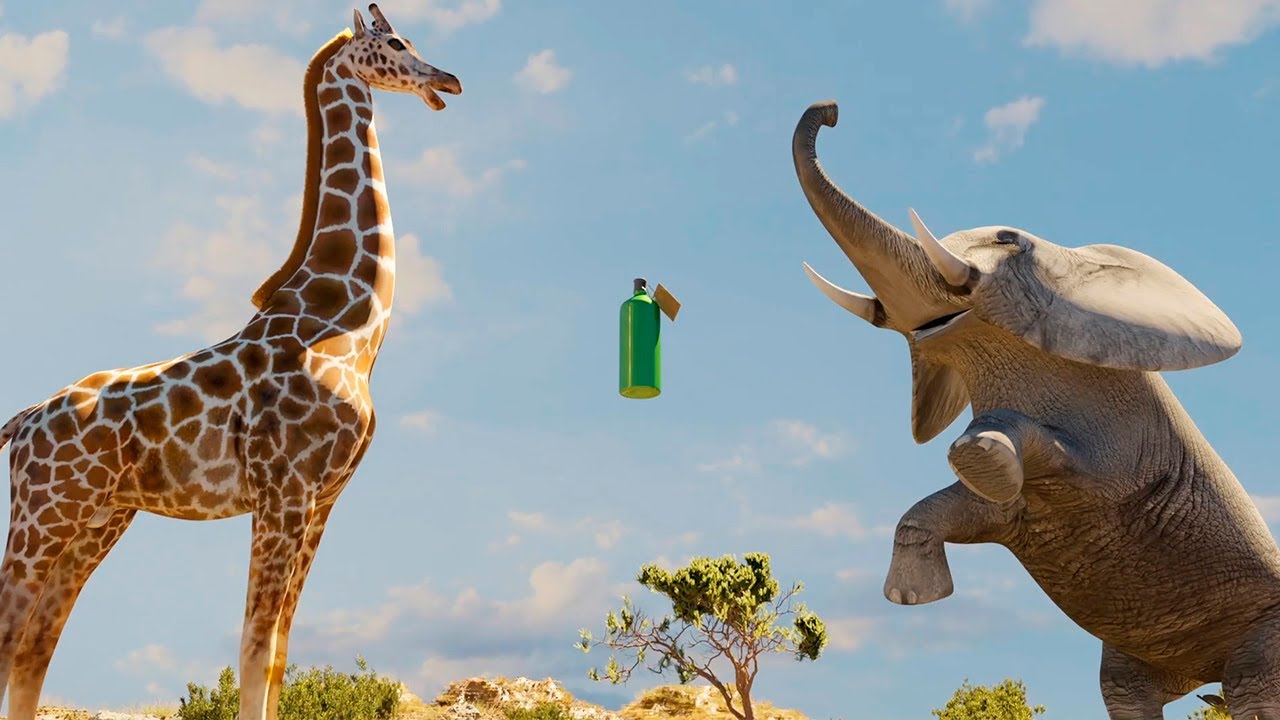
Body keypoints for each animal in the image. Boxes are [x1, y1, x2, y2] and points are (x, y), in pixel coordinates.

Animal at [0, 6, 460, 719]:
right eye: (392, 42)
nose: (447, 80)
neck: (346, 328)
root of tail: (20, 422)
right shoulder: (283, 490)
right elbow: (253, 644)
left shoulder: (323, 499)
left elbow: (278, 654)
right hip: (43, 511)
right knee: (9, 631)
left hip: (97, 517)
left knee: (35, 643)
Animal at [793, 100, 1280, 720]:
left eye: (1009, 239)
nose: (830, 111)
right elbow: (979, 509)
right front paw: (912, 597)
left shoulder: (1128, 448)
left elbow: (1076, 468)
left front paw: (976, 449)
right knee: (1127, 692)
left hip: (1267, 626)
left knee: (1250, 688)